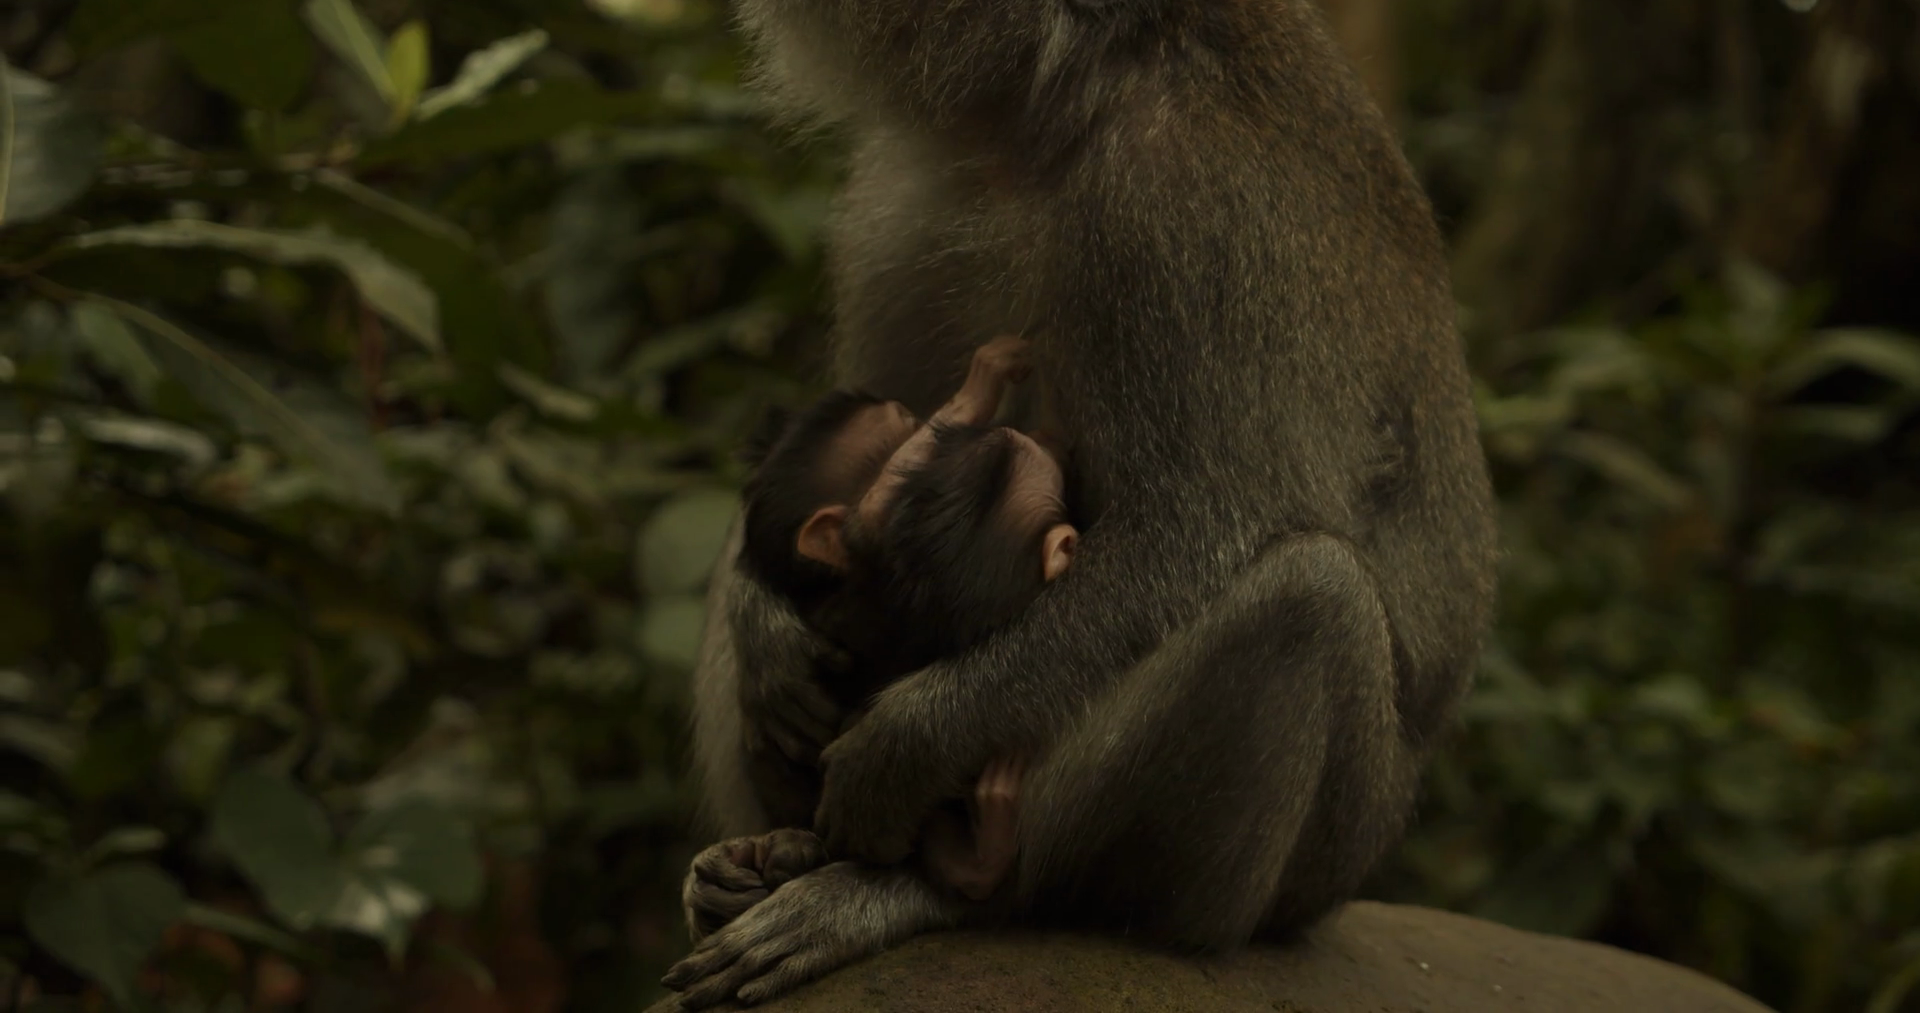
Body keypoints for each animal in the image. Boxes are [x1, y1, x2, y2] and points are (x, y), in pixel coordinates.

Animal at [666, 0, 1501, 1007]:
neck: (1052, 96)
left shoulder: (1173, 213)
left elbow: (1195, 528)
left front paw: (906, 741)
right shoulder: (896, 204)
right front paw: (767, 623)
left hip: (1317, 864)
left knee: (1313, 597)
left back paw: (931, 890)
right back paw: (761, 855)